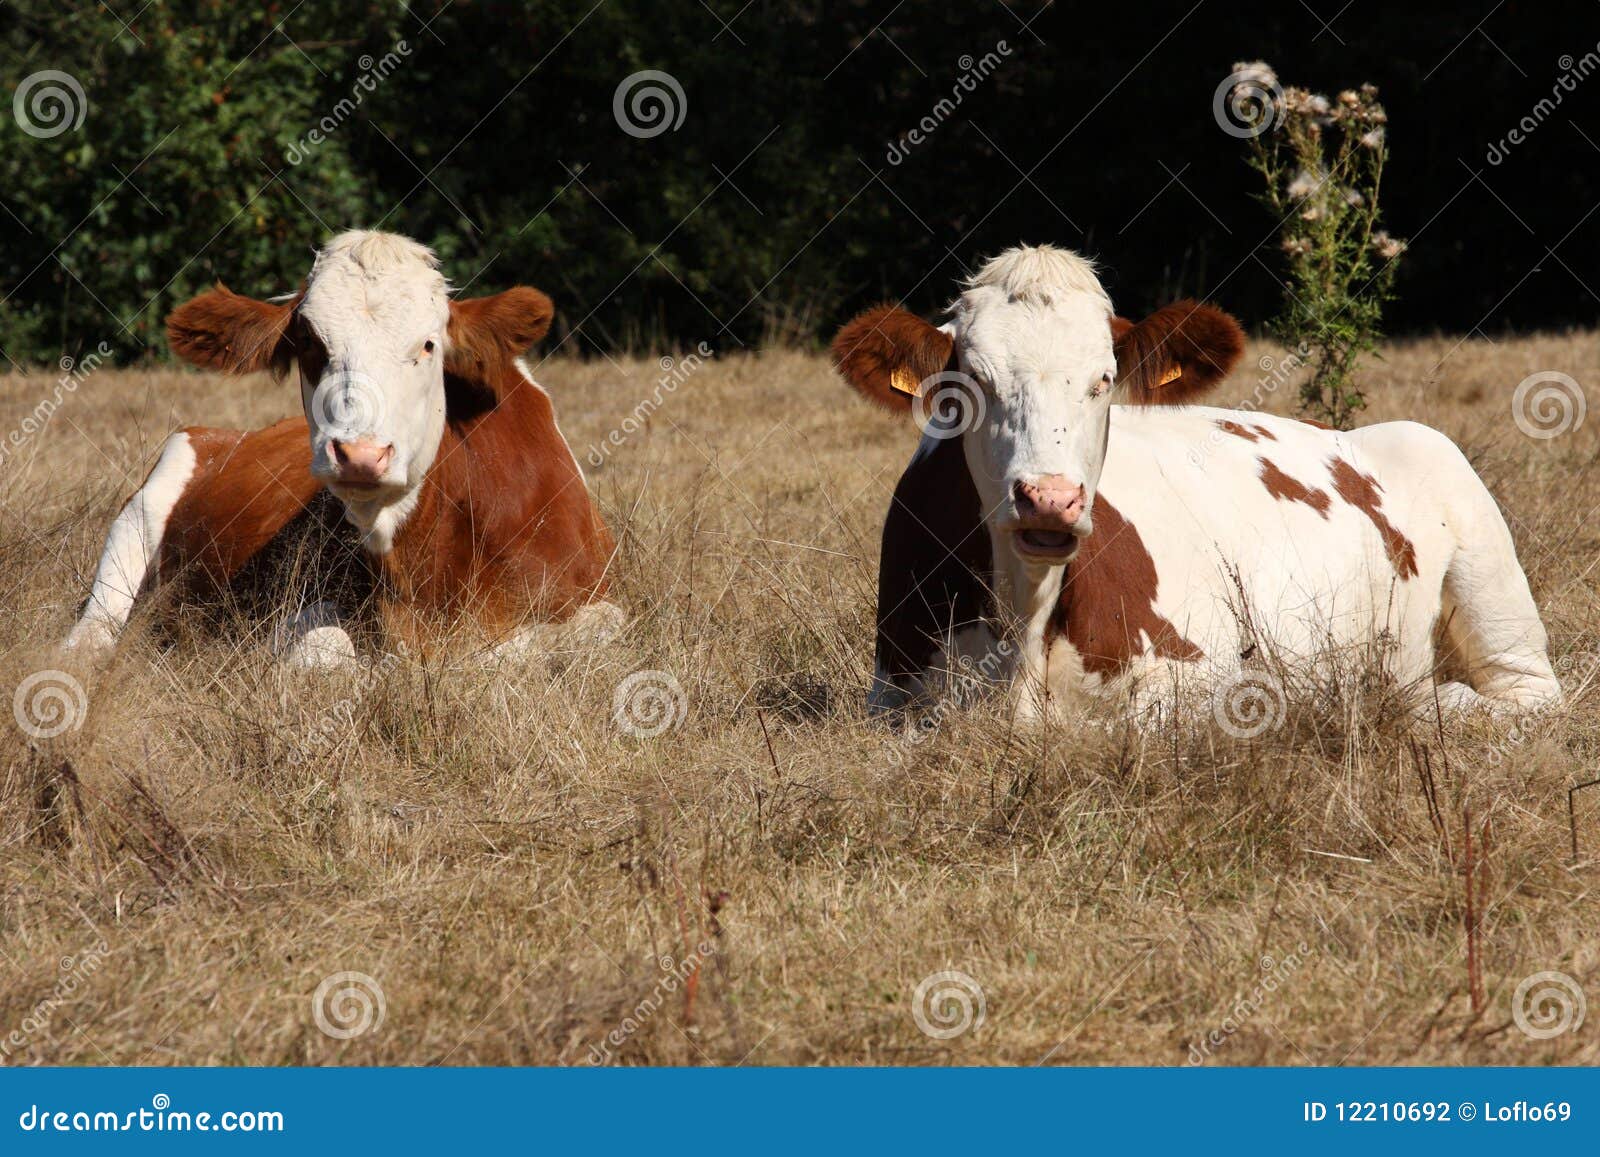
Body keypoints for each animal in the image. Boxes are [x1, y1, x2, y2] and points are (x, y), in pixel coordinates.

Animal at [64, 230, 620, 666]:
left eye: (429, 344)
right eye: (310, 342)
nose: (360, 455)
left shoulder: (599, 599)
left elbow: (563, 638)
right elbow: (326, 647)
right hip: (142, 509)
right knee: (92, 631)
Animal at [831, 244, 1561, 723]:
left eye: (1103, 379)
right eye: (974, 381)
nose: (1050, 499)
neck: (1024, 619)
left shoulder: (1206, 673)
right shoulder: (888, 697)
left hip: (1486, 563)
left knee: (1527, 695)